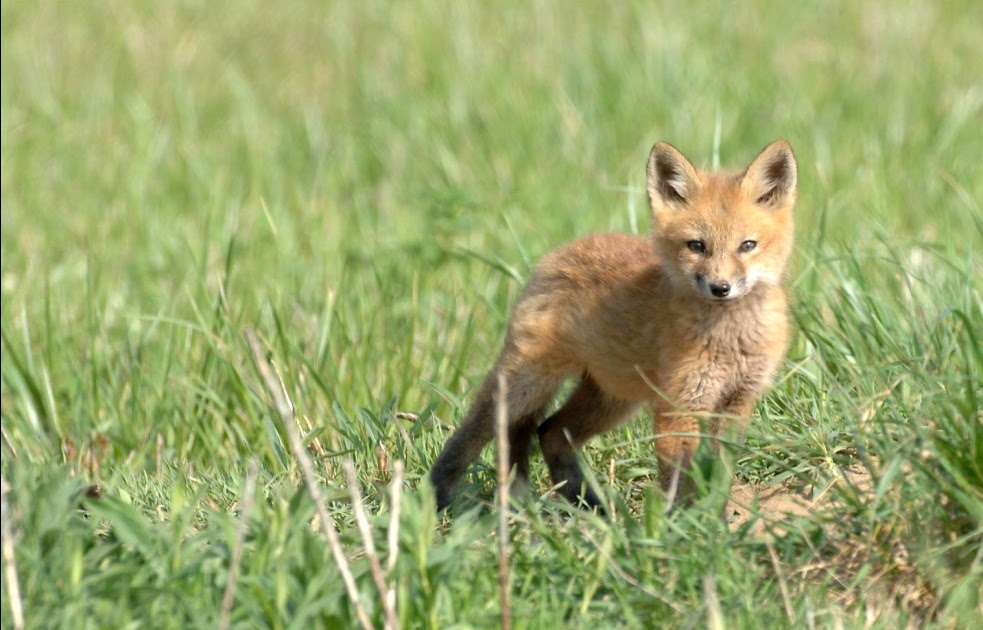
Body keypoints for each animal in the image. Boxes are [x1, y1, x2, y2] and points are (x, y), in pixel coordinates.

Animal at [429, 139, 796, 511]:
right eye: (697, 246)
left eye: (747, 245)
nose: (720, 288)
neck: (730, 339)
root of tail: (564, 250)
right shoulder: (678, 406)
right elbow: (679, 482)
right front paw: (681, 523)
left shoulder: (736, 402)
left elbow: (718, 478)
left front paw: (714, 519)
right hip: (529, 383)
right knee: (476, 432)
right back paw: (438, 497)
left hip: (611, 398)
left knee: (550, 433)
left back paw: (591, 507)